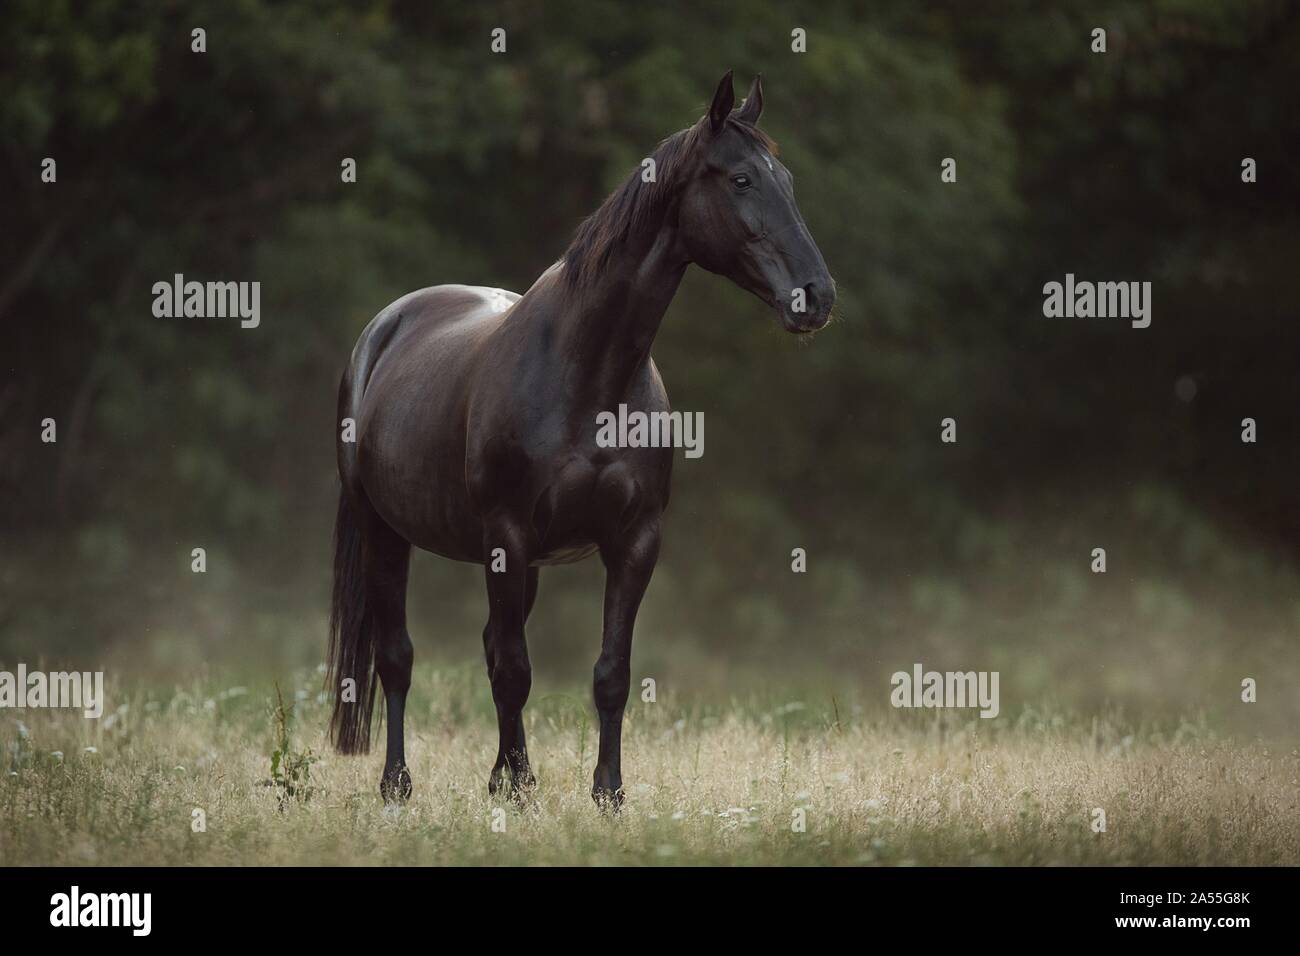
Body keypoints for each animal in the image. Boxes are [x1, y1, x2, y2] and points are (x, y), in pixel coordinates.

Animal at [326, 71, 835, 806]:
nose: (815, 296)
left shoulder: (633, 543)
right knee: (398, 657)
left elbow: (607, 673)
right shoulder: (507, 536)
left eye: (786, 179)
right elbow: (513, 670)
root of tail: (385, 327)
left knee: (489, 645)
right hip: (385, 531)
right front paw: (522, 791)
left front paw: (605, 793)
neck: (587, 373)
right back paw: (399, 783)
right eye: (740, 179)